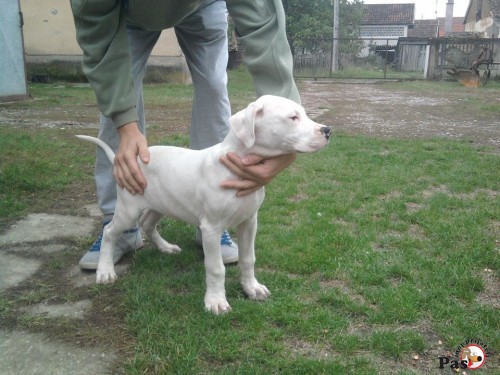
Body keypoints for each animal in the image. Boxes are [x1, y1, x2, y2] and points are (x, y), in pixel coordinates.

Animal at [76, 94, 330, 314]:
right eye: (293, 117)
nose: (328, 131)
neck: (235, 166)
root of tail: (134, 158)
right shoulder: (211, 228)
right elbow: (216, 268)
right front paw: (216, 302)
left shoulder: (249, 222)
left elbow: (248, 258)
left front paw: (252, 288)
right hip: (129, 208)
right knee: (111, 231)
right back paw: (105, 271)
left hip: (162, 203)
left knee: (148, 223)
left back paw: (165, 247)